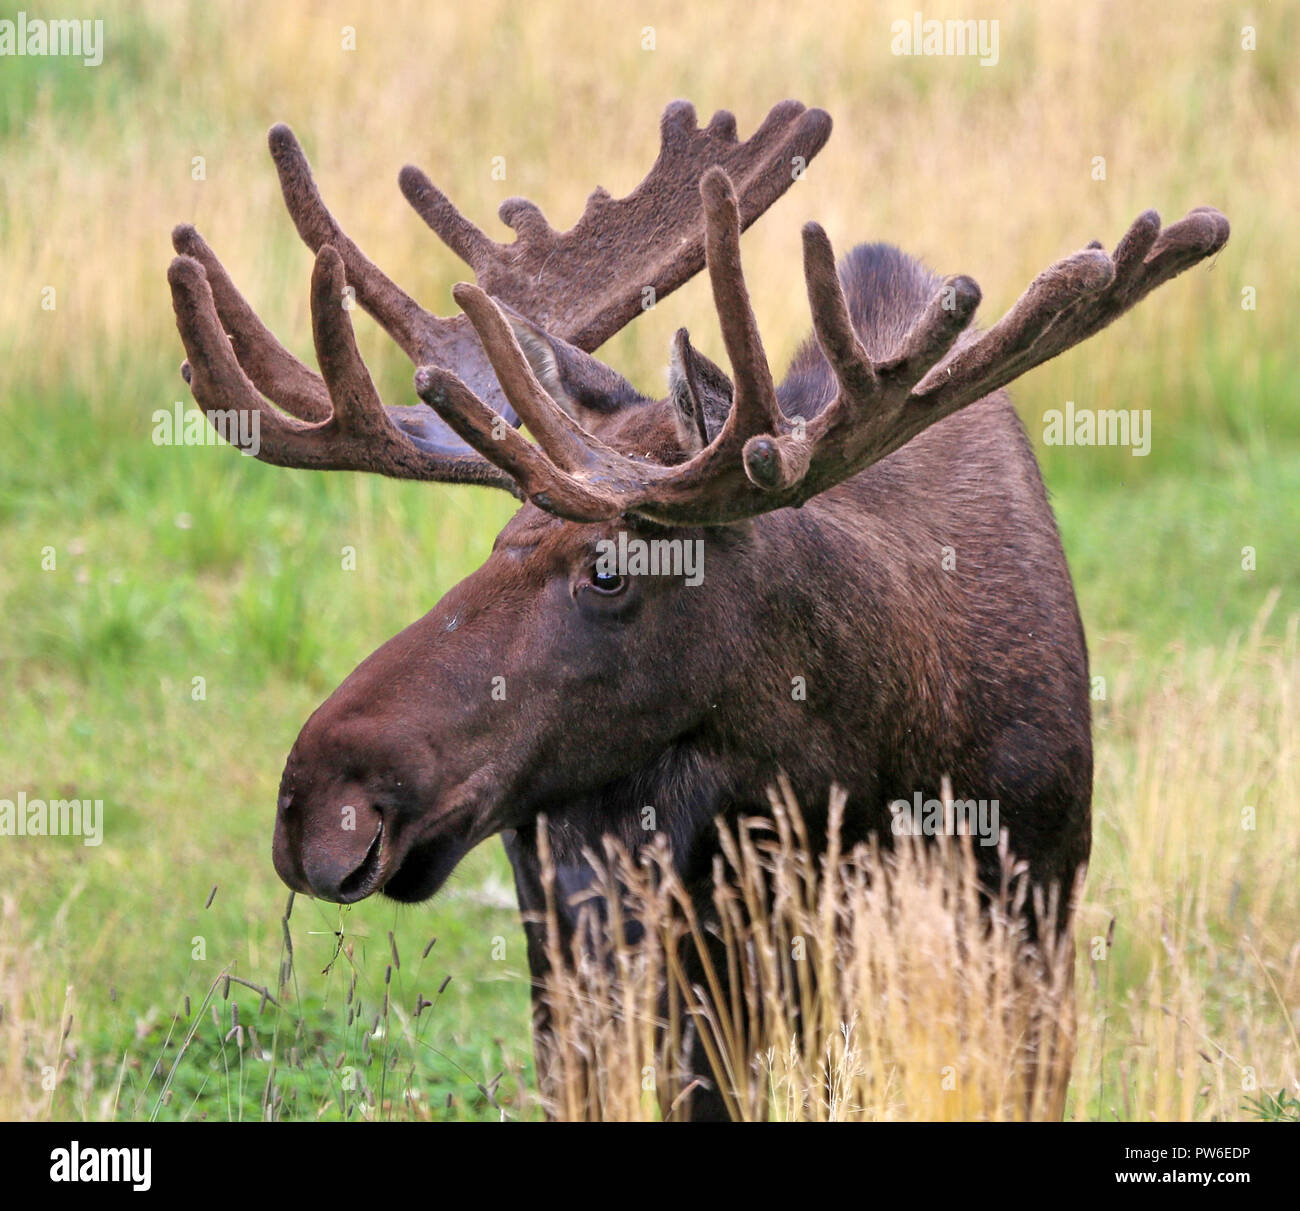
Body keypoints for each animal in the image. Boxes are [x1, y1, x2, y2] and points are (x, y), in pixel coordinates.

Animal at [165, 99, 1228, 1119]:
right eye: (501, 534)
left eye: (608, 571)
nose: (318, 803)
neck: (881, 756)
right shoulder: (719, 958)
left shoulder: (1036, 905)